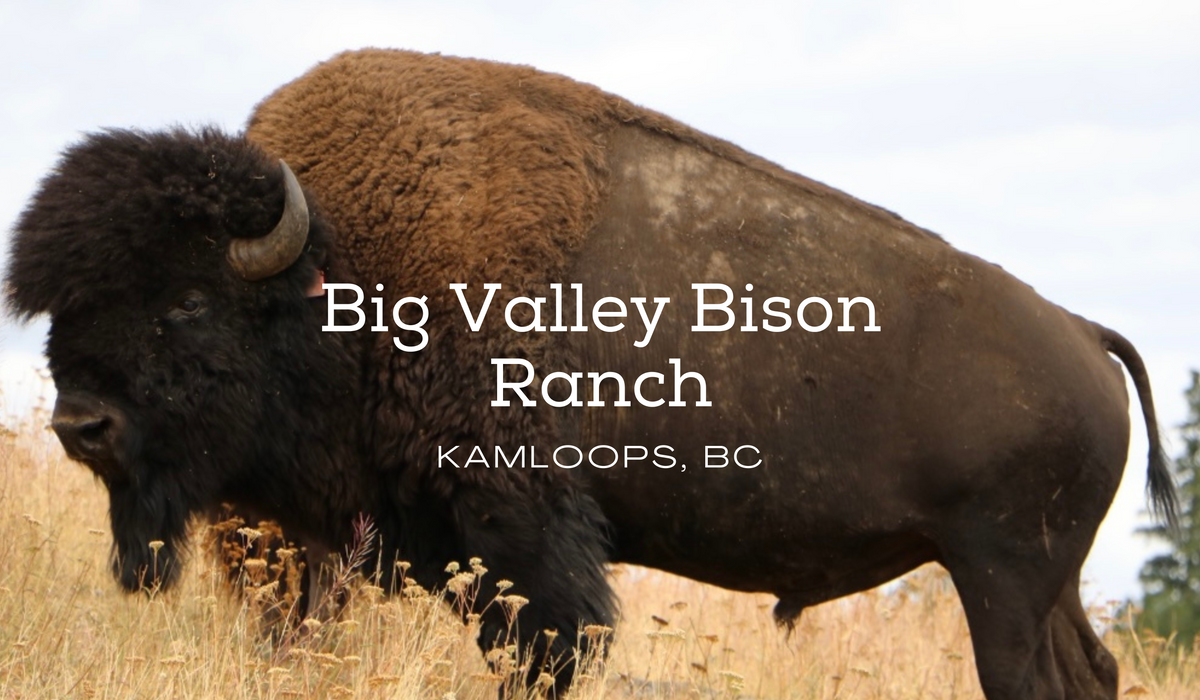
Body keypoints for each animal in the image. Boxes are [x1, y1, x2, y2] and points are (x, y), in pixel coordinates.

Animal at [5, 49, 1175, 700]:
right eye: (62, 309)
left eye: (186, 302)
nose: (81, 424)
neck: (345, 274)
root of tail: (1082, 333)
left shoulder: (525, 537)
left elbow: (550, 646)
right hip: (1037, 577)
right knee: (1091, 674)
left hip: (1002, 574)